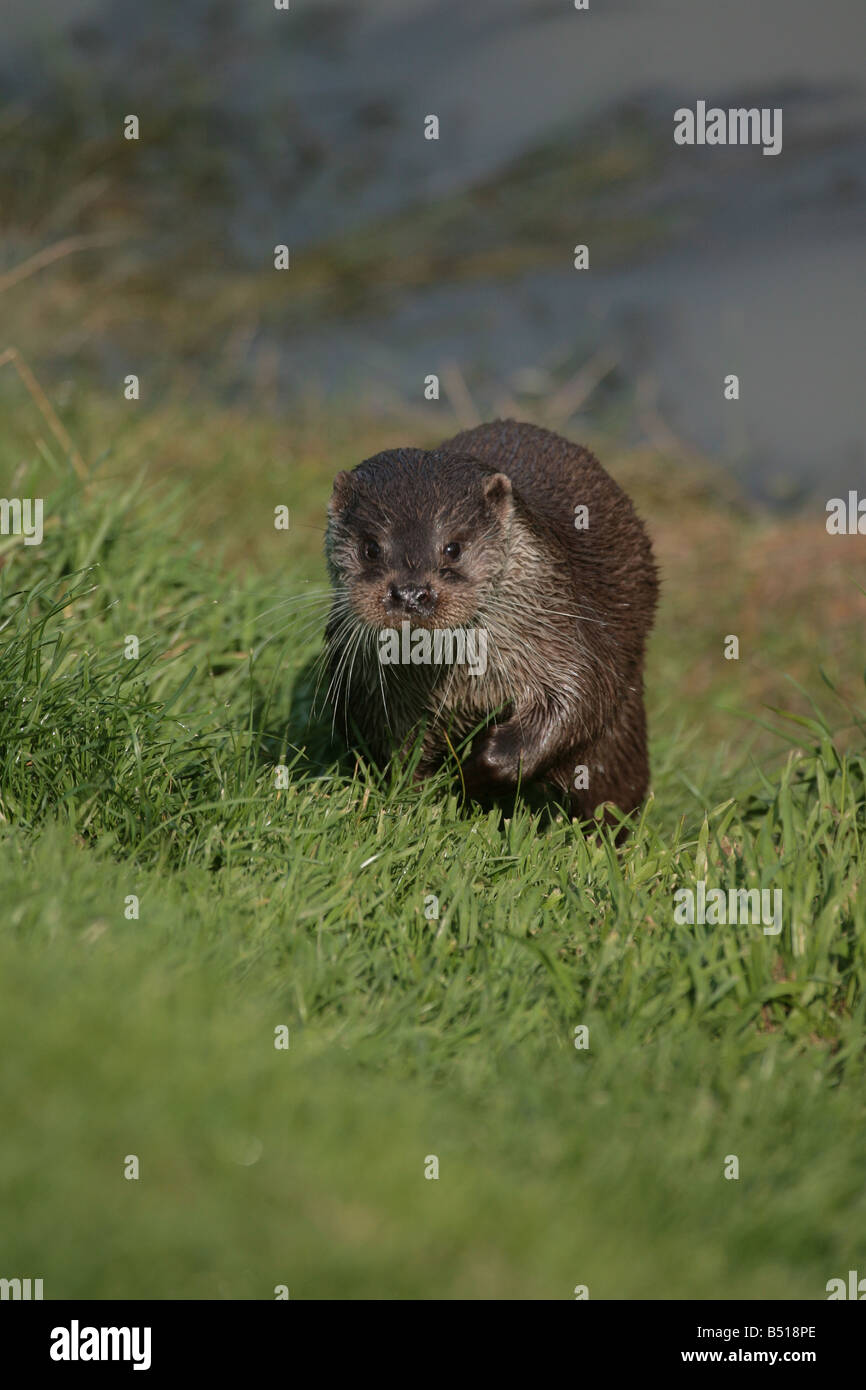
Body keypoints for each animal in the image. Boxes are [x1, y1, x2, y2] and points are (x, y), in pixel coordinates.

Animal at [324, 420, 658, 821]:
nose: (410, 593)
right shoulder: (363, 682)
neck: (467, 686)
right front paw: (416, 800)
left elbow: (579, 701)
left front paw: (472, 776)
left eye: (453, 547)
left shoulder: (566, 633)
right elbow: (391, 750)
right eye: (371, 547)